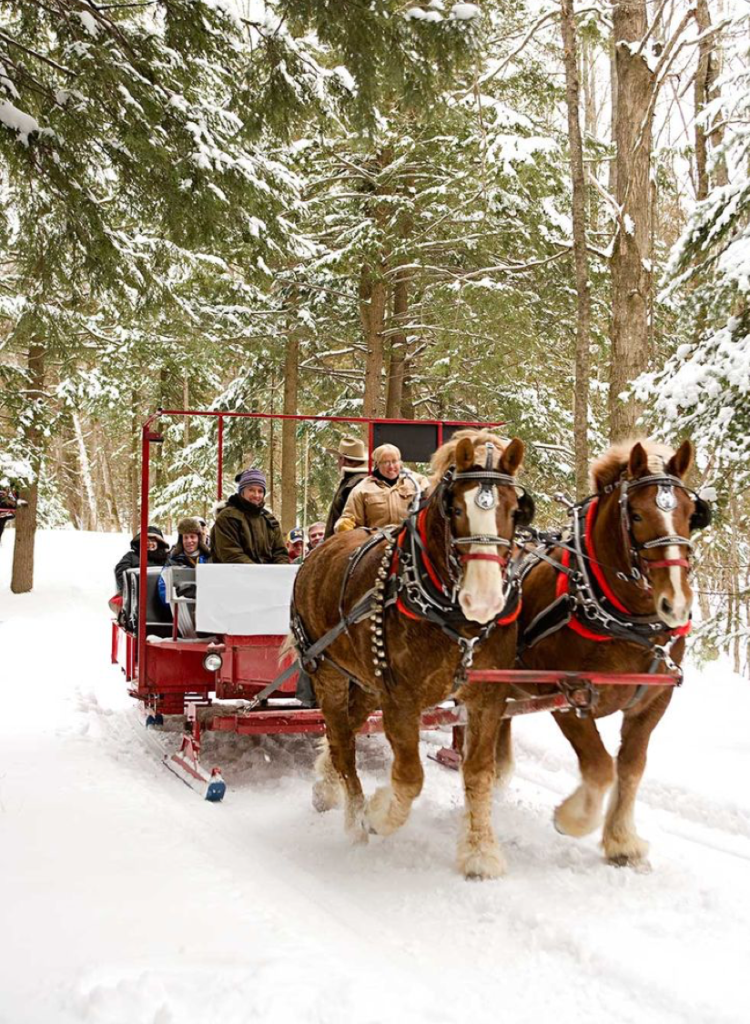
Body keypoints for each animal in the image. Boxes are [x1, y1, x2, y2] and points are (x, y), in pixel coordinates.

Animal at [290, 430, 534, 878]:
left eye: (514, 510)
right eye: (456, 508)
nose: (484, 599)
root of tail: (317, 552)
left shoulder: (487, 698)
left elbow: (478, 774)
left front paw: (480, 852)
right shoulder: (400, 700)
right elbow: (410, 776)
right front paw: (379, 814)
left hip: (367, 684)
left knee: (346, 729)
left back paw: (324, 785)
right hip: (329, 673)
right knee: (343, 744)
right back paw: (354, 819)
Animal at [497, 438, 711, 868]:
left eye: (690, 513)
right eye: (637, 514)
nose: (676, 604)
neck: (626, 621)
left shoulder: (652, 702)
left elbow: (630, 768)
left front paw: (622, 840)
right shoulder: (568, 695)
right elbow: (599, 766)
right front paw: (573, 818)